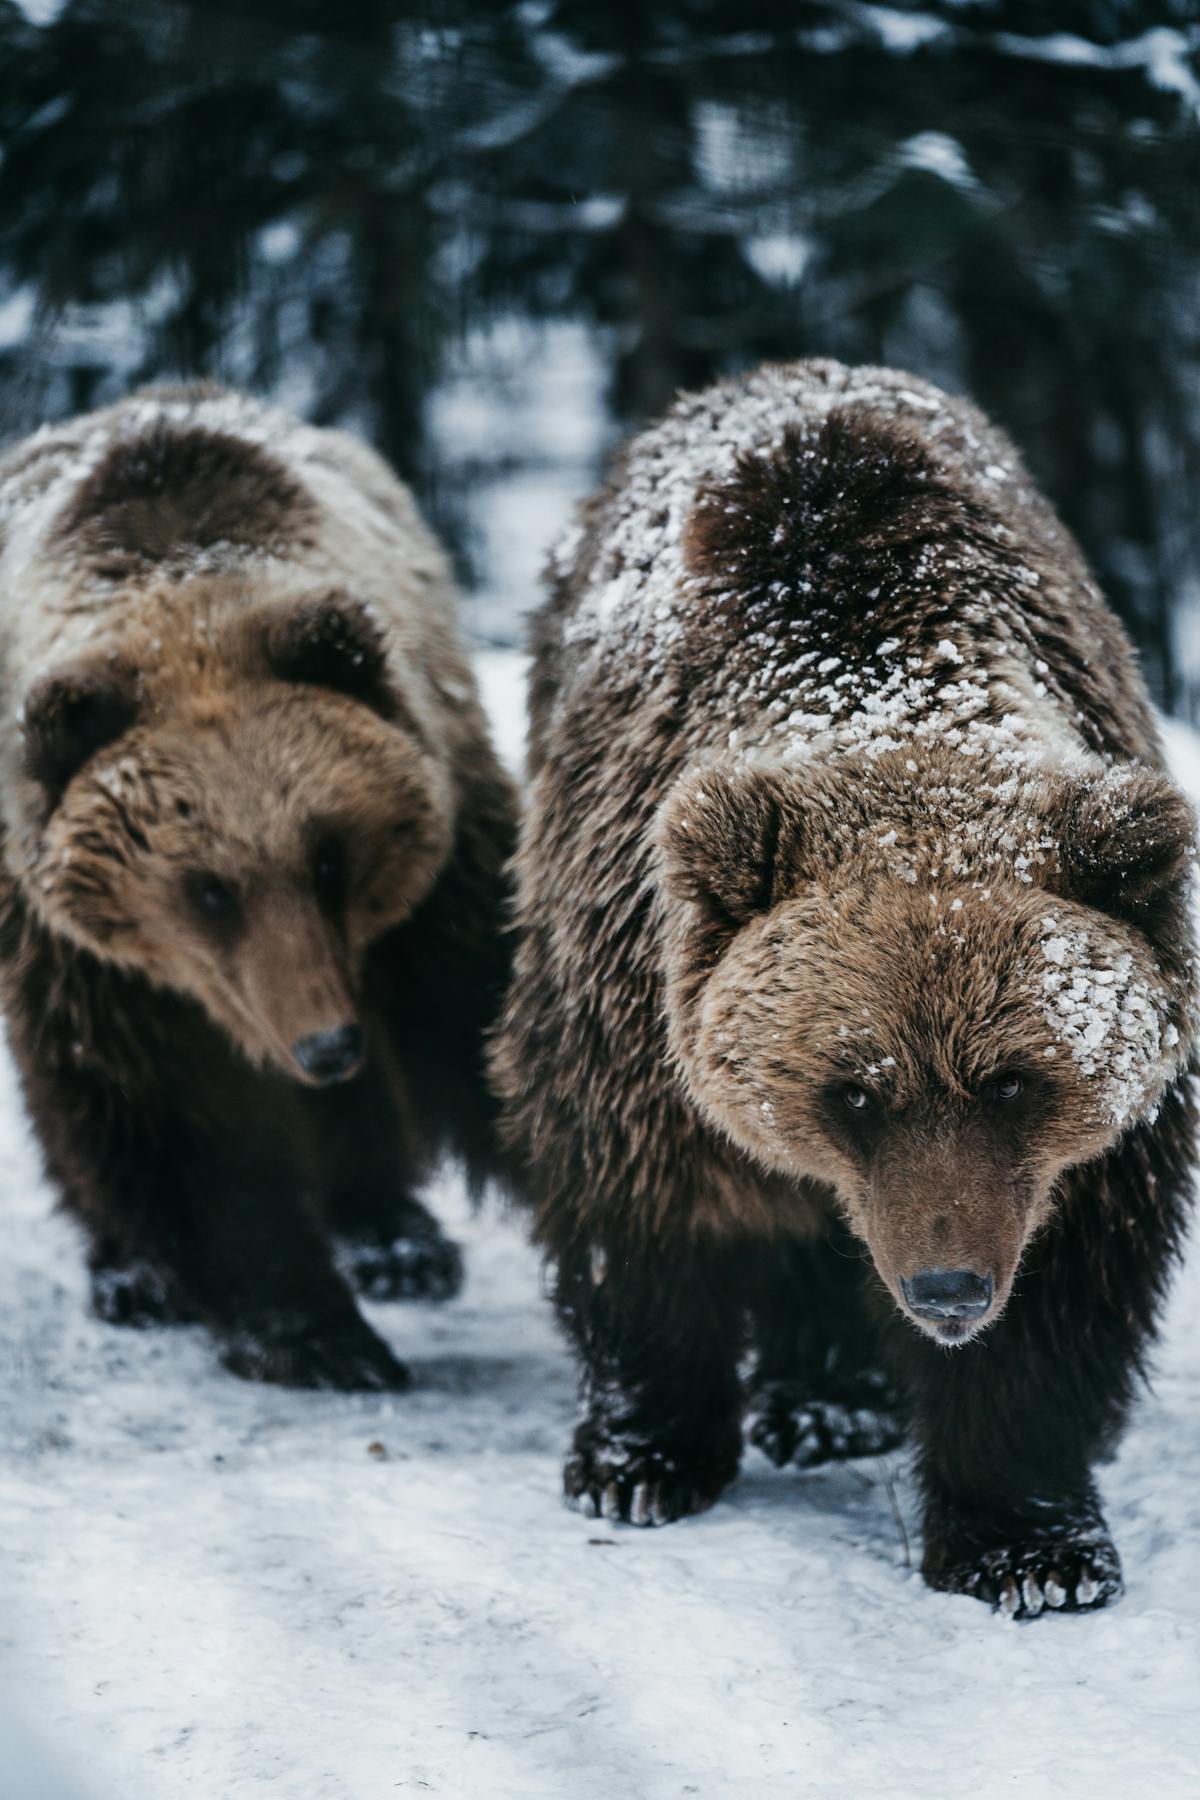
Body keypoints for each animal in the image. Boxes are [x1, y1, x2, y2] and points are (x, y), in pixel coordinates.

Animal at [0, 384, 514, 1389]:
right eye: (207, 889)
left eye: (330, 855)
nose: (325, 1043)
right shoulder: (89, 957)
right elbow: (158, 1116)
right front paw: (320, 1336)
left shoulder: (438, 860)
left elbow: (479, 1006)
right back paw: (128, 1276)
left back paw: (395, 1237)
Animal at [491, 358, 1197, 1617]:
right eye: (853, 1089)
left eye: (1015, 1081)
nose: (949, 1285)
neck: (876, 674)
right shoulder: (632, 1006)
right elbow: (638, 1218)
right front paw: (638, 1460)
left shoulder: (1086, 1148)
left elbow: (1058, 1306)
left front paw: (1030, 1548)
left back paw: (833, 1404)